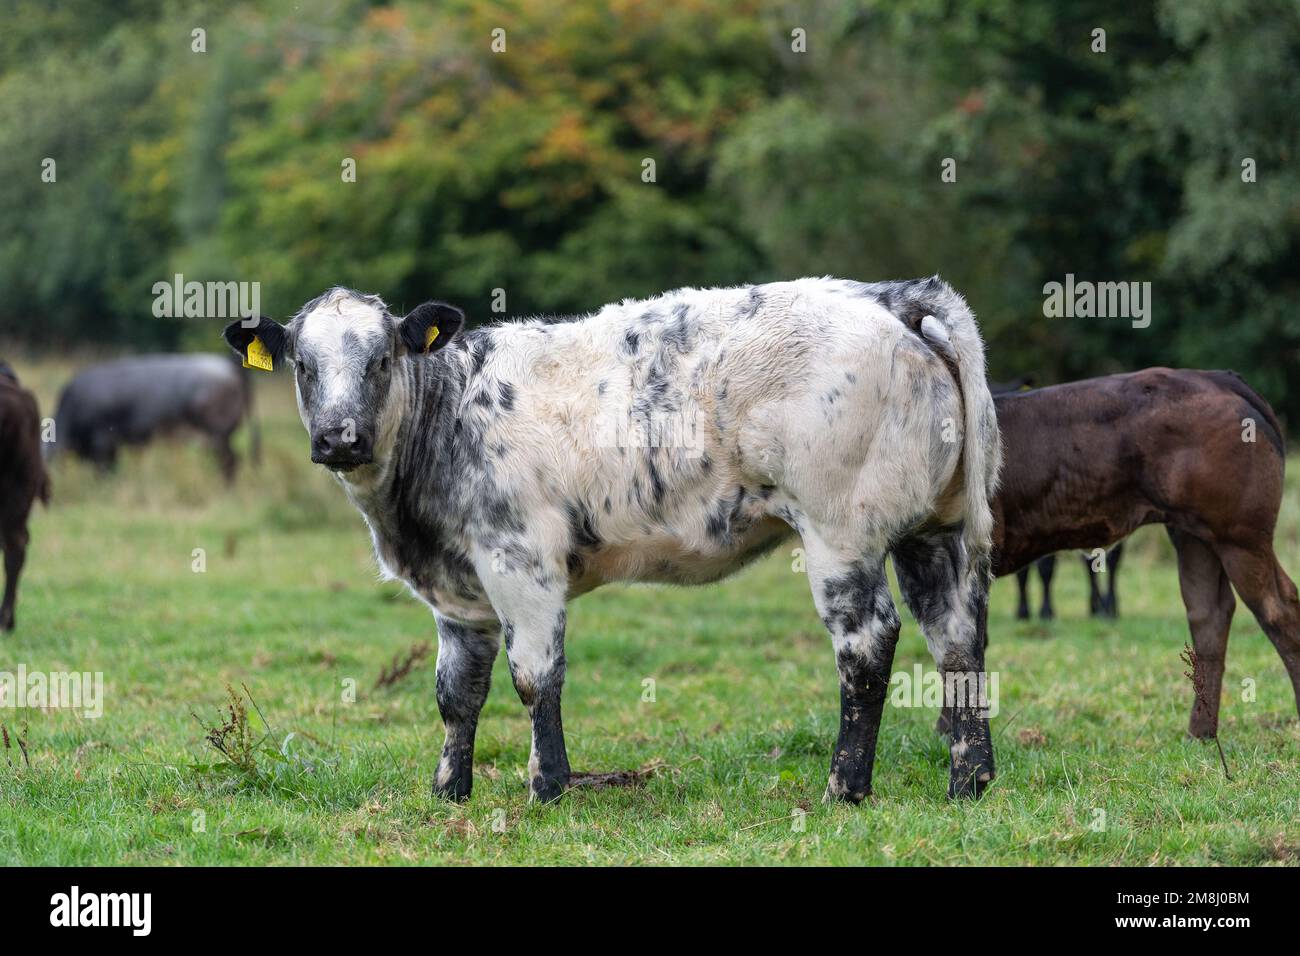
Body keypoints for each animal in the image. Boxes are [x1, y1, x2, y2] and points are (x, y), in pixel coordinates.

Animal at [224, 277, 1002, 803]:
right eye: (302, 365)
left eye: (382, 358)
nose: (339, 438)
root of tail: (887, 294)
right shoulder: (458, 593)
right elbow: (456, 694)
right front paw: (449, 790)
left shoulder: (521, 561)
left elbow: (534, 677)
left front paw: (547, 786)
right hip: (935, 530)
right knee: (957, 639)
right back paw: (970, 780)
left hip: (841, 529)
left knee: (867, 644)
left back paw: (845, 786)